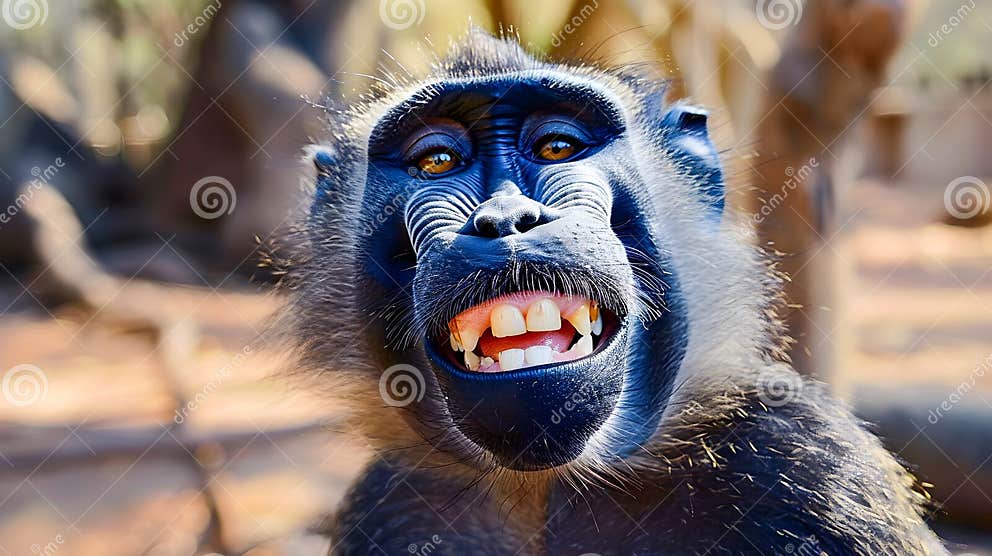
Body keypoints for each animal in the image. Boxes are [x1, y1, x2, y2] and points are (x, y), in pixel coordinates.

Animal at [278, 31, 948, 555]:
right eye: (438, 162)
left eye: (557, 148)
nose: (507, 220)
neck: (548, 488)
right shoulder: (390, 502)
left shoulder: (806, 463)